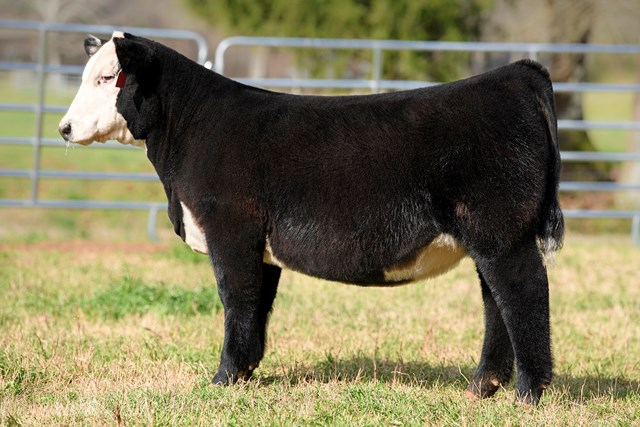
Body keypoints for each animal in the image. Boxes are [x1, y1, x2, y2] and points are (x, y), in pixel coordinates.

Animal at [59, 32, 564, 405]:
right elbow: (256, 306)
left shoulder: (230, 230)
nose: (64, 128)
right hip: (488, 238)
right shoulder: (259, 246)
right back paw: (483, 387)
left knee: (522, 294)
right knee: (495, 302)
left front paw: (222, 379)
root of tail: (515, 75)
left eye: (108, 77)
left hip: (501, 233)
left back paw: (528, 393)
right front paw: (244, 374)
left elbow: (236, 300)